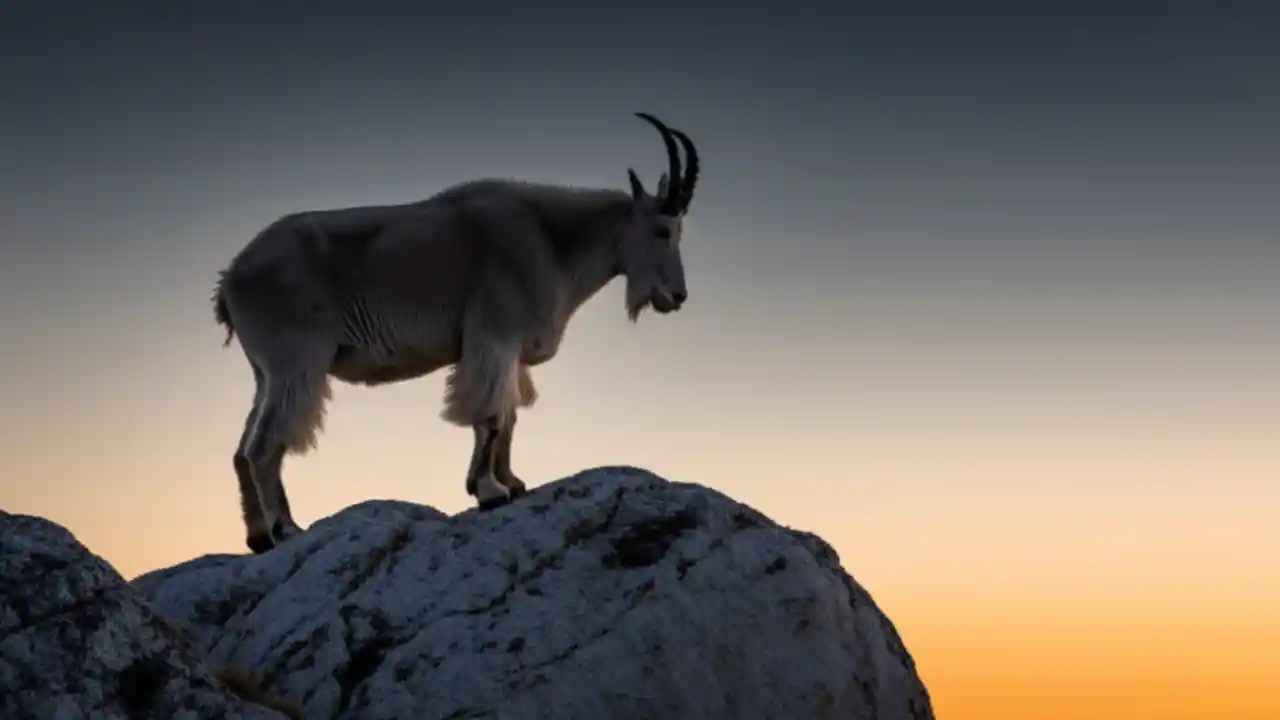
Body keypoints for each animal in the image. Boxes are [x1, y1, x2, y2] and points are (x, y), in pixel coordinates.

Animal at [212, 113, 700, 553]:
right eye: (663, 230)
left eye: (679, 230)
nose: (677, 296)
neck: (550, 239)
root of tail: (231, 278)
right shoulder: (492, 339)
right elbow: (489, 416)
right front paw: (488, 491)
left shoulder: (508, 353)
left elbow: (508, 417)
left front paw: (511, 482)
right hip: (298, 364)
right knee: (263, 447)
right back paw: (286, 528)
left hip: (267, 374)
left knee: (243, 449)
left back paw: (259, 536)